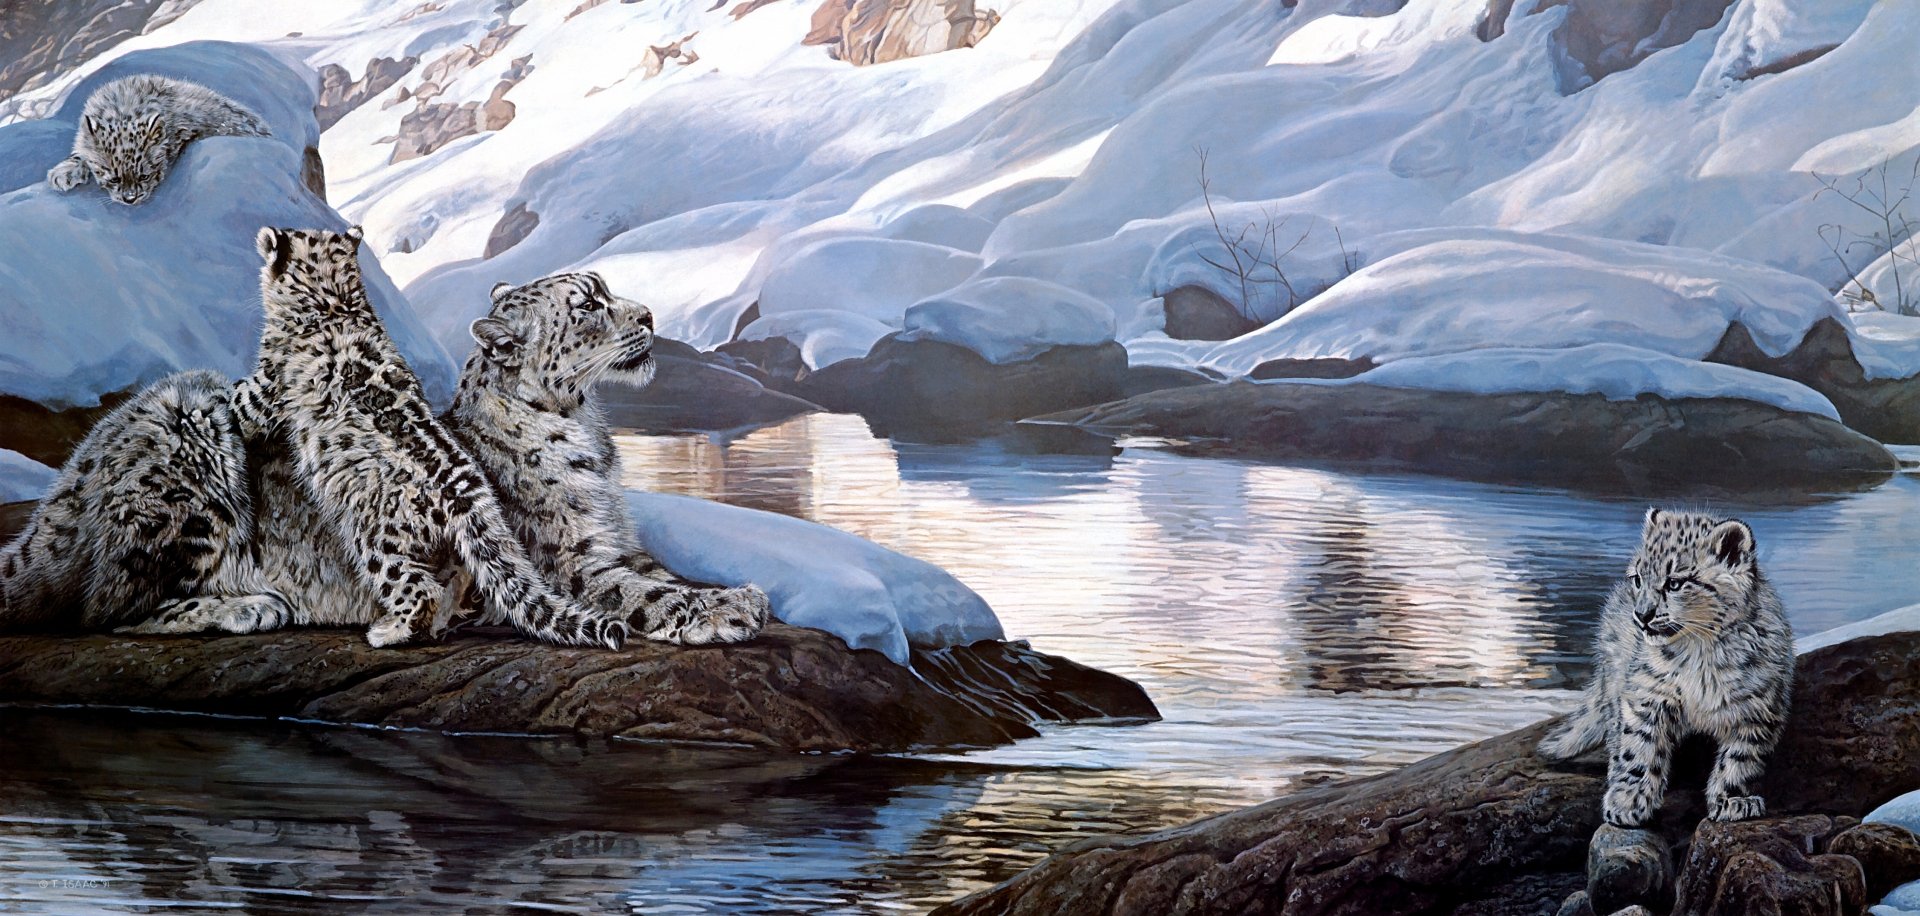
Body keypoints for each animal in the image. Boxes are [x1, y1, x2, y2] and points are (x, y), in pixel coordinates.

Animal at [443, 271, 768, 645]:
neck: (584, 424)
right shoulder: (571, 559)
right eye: (587, 305)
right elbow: (644, 593)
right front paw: (734, 606)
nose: (648, 316)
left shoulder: (622, 541)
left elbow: (664, 577)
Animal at [1538, 508, 1795, 828]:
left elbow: (1741, 758)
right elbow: (1639, 747)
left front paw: (1732, 801)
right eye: (1638, 578)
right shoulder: (1647, 695)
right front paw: (1627, 802)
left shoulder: (1756, 710)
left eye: (1674, 583)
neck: (1699, 652)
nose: (1641, 614)